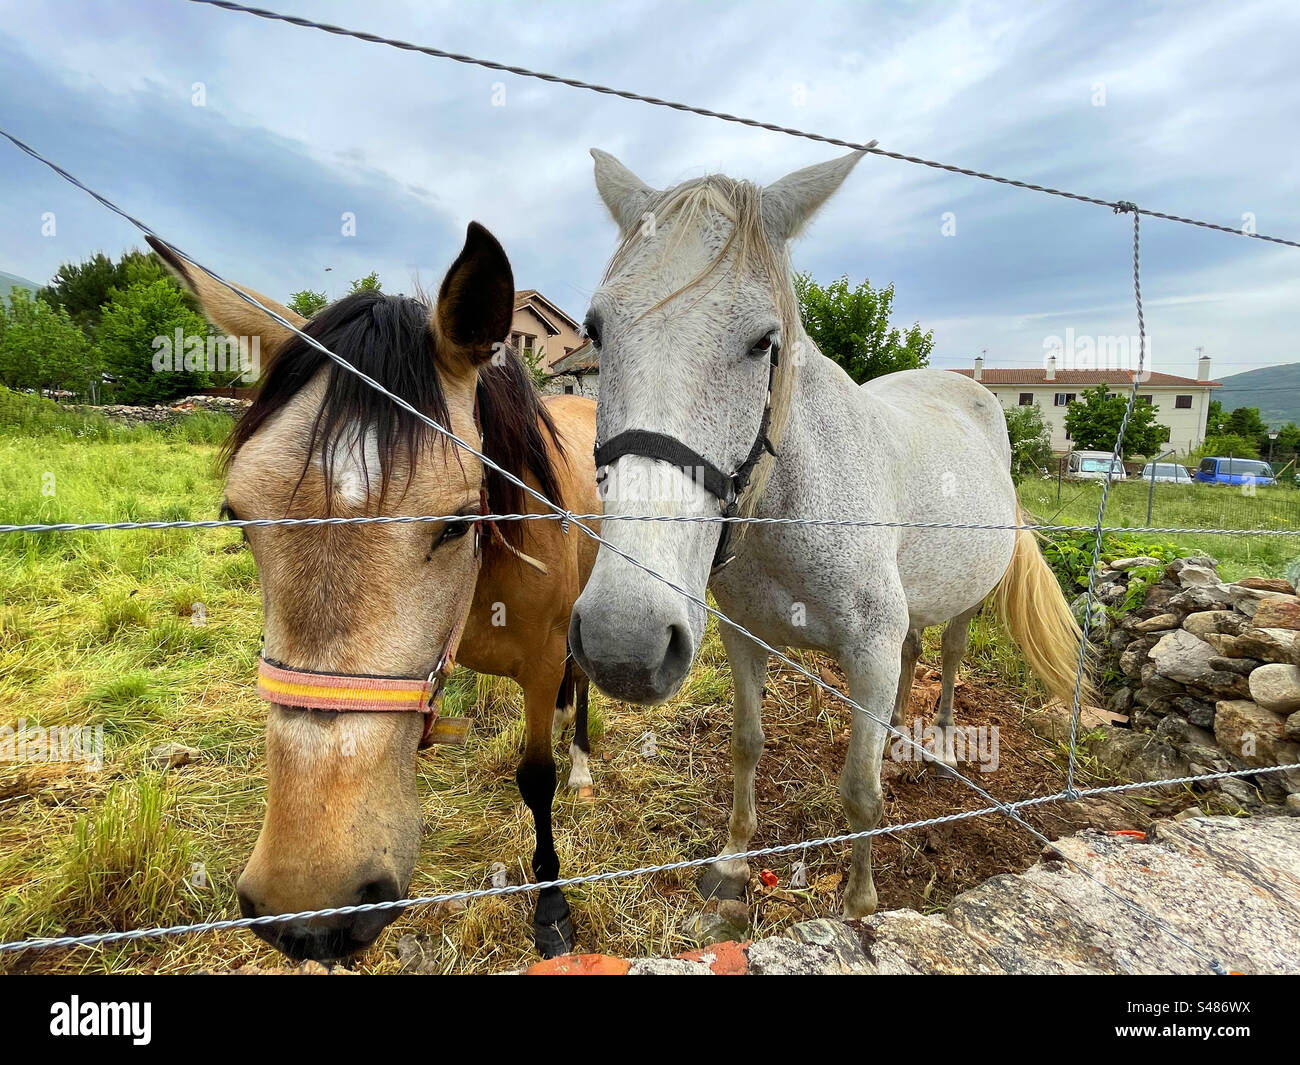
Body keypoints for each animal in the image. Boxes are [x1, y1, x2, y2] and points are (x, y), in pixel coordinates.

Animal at [147, 224, 599, 961]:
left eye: (459, 520)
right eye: (237, 516)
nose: (308, 904)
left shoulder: (540, 658)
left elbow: (536, 777)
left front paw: (552, 908)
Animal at [567, 150, 1089, 917]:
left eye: (764, 341)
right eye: (598, 329)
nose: (623, 641)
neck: (793, 512)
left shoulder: (865, 652)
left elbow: (860, 792)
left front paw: (861, 905)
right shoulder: (743, 637)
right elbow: (747, 745)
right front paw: (733, 865)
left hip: (968, 596)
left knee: (951, 653)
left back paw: (936, 740)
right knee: (915, 650)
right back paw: (900, 731)